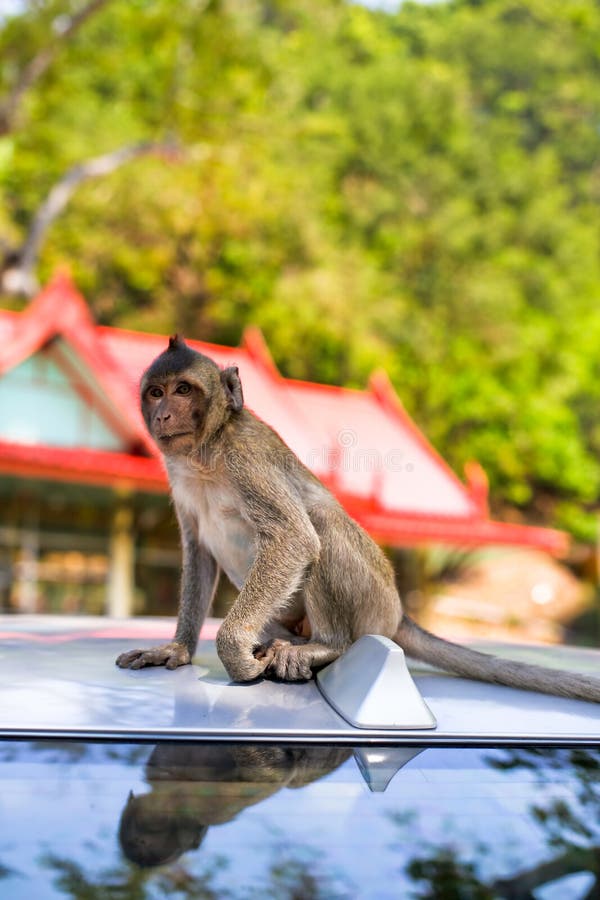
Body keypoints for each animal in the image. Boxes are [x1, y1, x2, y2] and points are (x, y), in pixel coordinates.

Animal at [116, 336, 600, 703]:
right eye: (156, 392)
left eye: (183, 390)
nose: (163, 414)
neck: (205, 454)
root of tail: (400, 612)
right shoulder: (178, 475)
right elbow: (198, 554)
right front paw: (177, 649)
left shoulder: (245, 457)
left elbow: (294, 537)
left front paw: (231, 650)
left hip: (375, 602)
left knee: (321, 526)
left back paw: (325, 647)